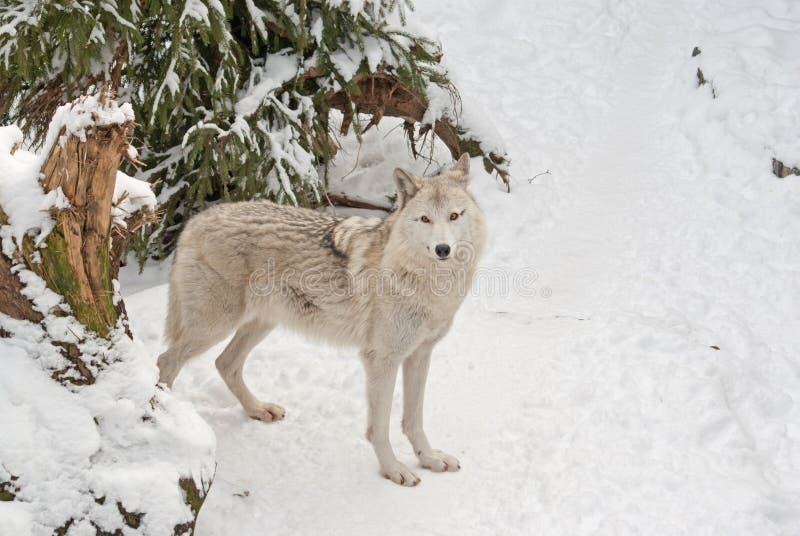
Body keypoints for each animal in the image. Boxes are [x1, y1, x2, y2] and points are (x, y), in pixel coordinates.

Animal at [157, 154, 487, 486]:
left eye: (454, 216)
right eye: (425, 219)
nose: (443, 249)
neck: (428, 282)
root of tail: (197, 220)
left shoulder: (419, 355)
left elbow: (413, 419)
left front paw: (429, 459)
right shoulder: (381, 359)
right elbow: (379, 428)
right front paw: (394, 469)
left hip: (261, 324)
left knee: (225, 364)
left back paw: (259, 410)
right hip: (214, 327)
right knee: (166, 361)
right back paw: (167, 422)